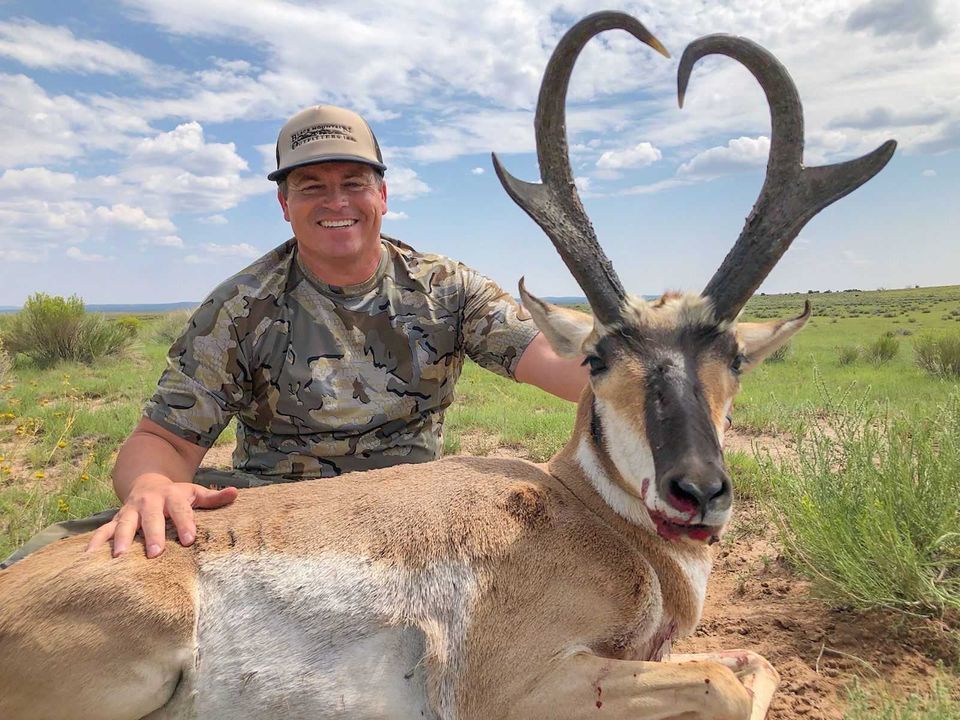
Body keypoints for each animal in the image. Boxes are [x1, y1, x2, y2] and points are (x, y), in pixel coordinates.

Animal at [0, 11, 894, 720]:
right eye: (598, 357)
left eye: (735, 356)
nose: (697, 493)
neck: (583, 512)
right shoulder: (516, 690)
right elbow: (731, 680)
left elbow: (753, 662)